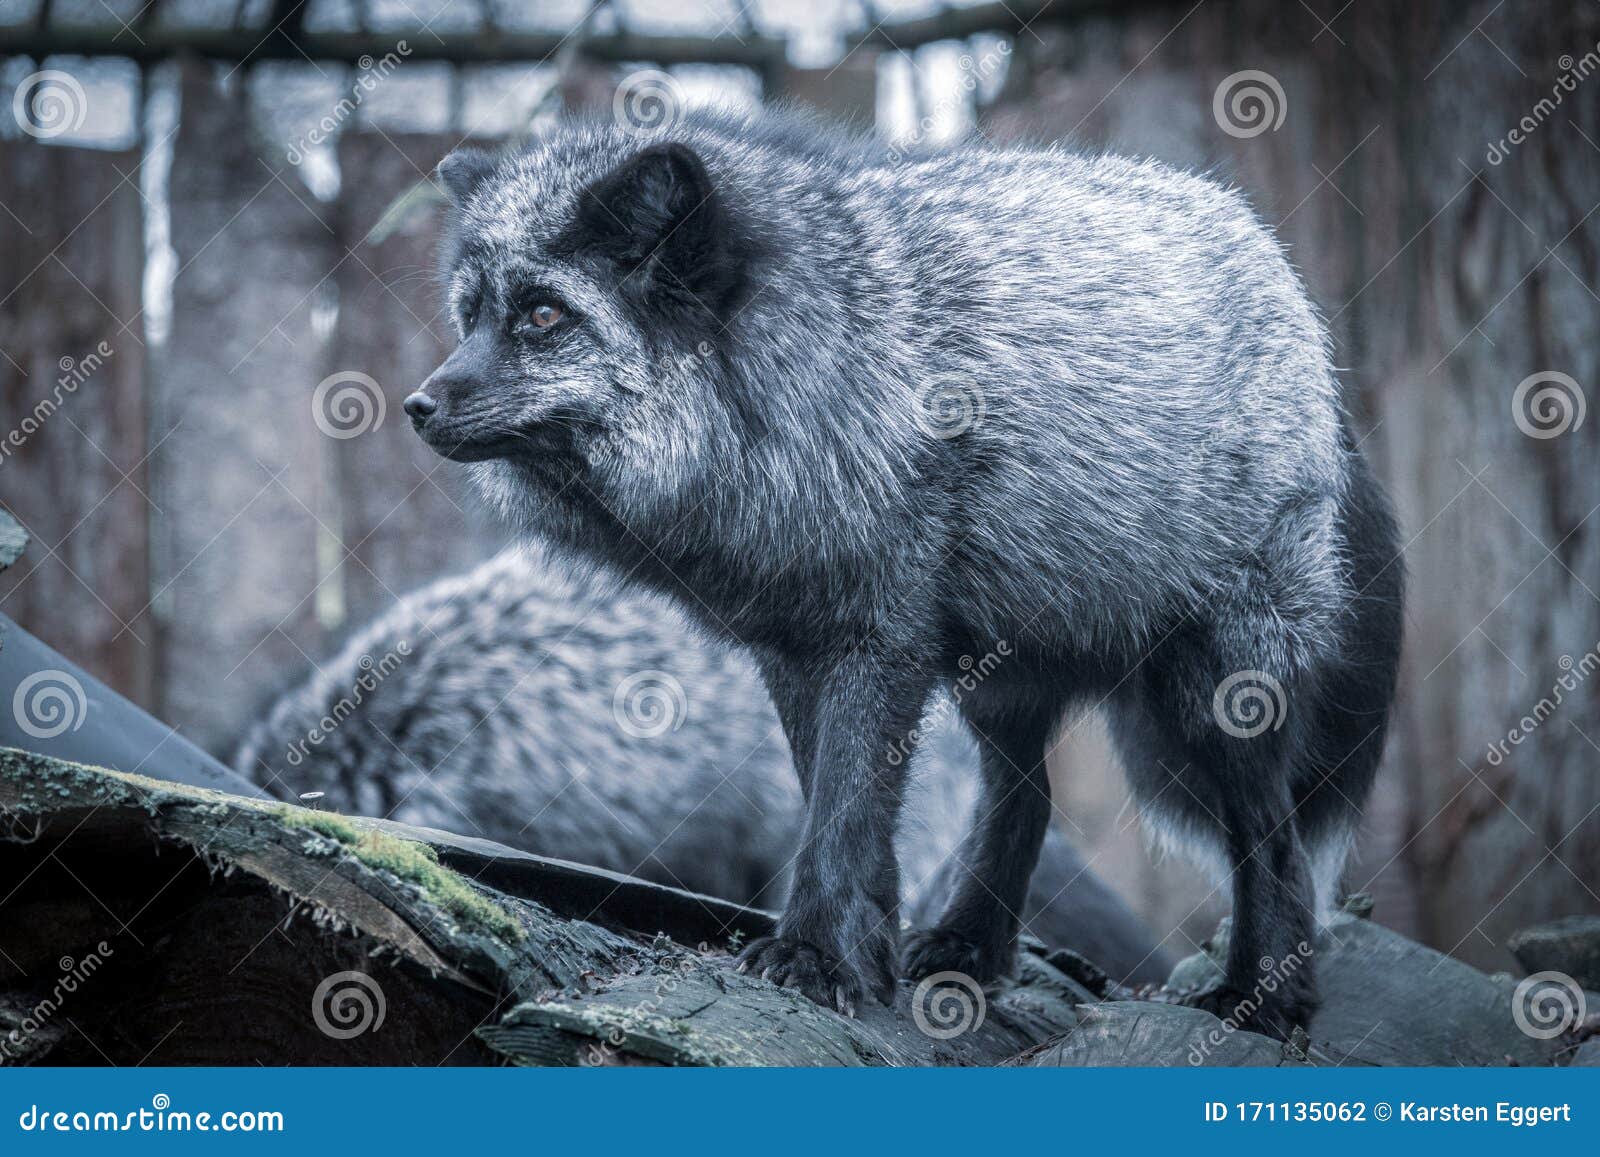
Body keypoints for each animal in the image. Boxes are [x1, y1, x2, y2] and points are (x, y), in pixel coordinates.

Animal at [403, 106, 1403, 1037]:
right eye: (470, 315)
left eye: (543, 316)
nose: (416, 405)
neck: (825, 369)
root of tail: (1275, 269)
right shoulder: (793, 646)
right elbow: (841, 801)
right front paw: (866, 947)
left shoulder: (874, 640)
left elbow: (843, 805)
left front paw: (813, 955)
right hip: (998, 677)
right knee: (1025, 800)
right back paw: (969, 947)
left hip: (1217, 682)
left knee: (1271, 834)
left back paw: (1264, 996)